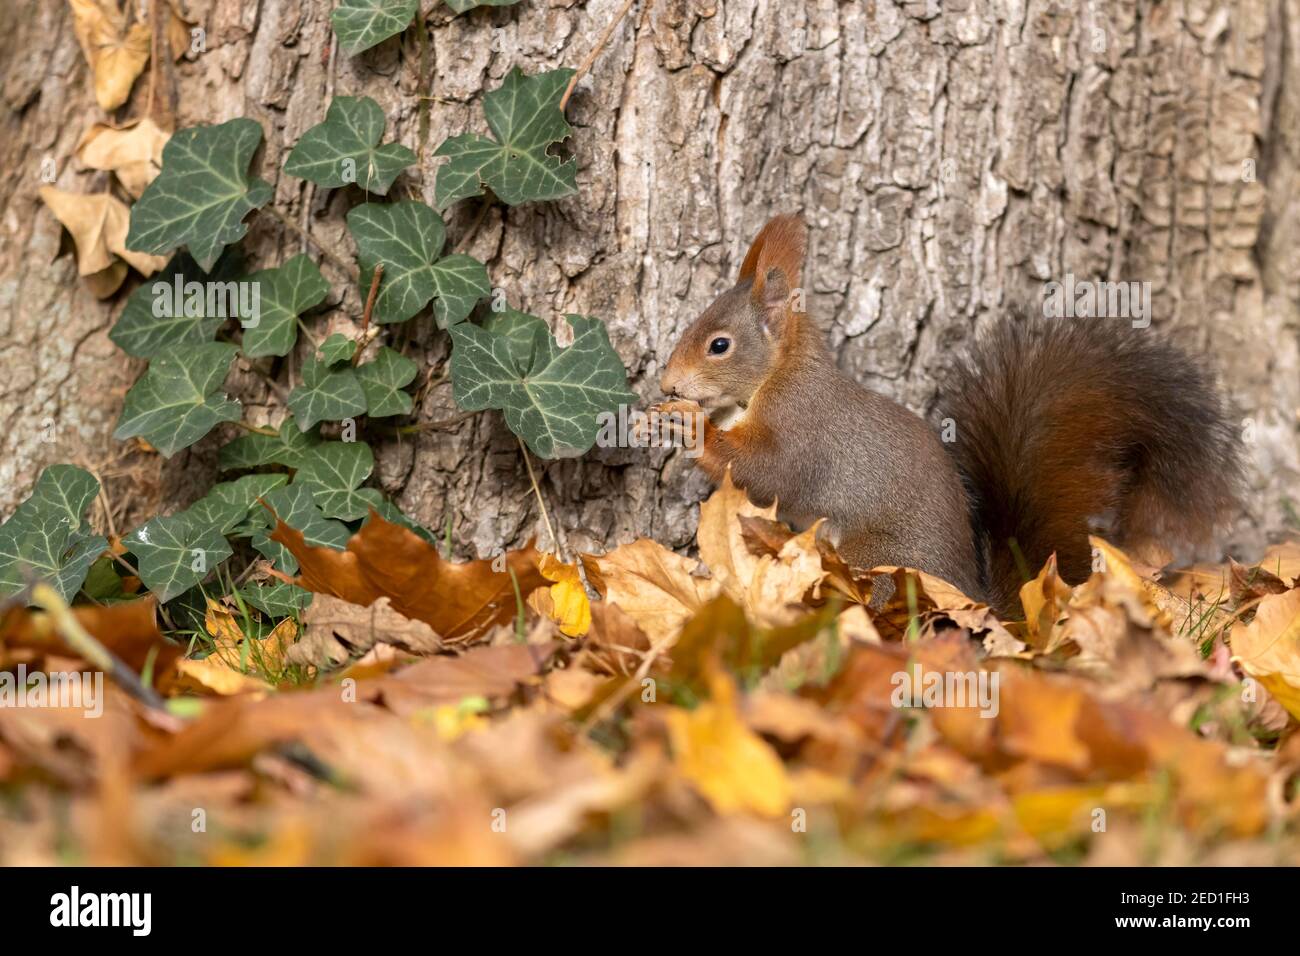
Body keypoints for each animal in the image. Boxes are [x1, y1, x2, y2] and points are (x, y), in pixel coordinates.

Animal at [654, 214, 1243, 617]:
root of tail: (976, 600)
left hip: (879, 562)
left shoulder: (804, 426)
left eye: (719, 345)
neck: (775, 377)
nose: (666, 384)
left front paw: (688, 426)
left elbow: (766, 472)